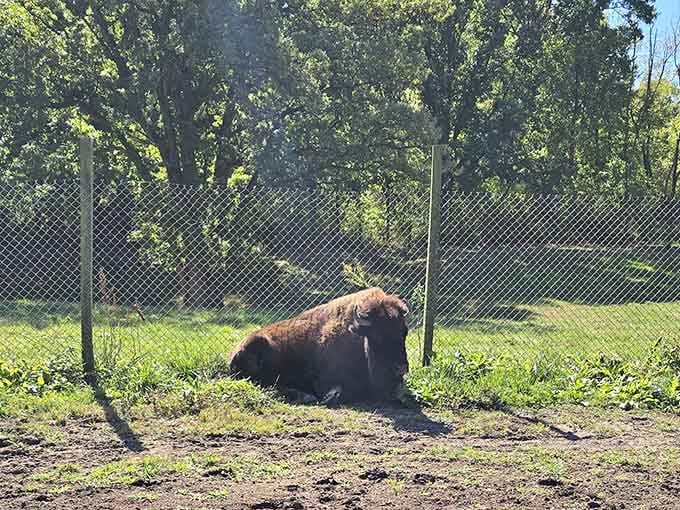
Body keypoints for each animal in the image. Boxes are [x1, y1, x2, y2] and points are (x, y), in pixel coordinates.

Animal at [228, 287, 410, 405]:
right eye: (378, 335)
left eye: (404, 332)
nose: (401, 368)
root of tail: (234, 352)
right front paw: (327, 398)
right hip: (257, 346)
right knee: (266, 384)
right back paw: (306, 397)